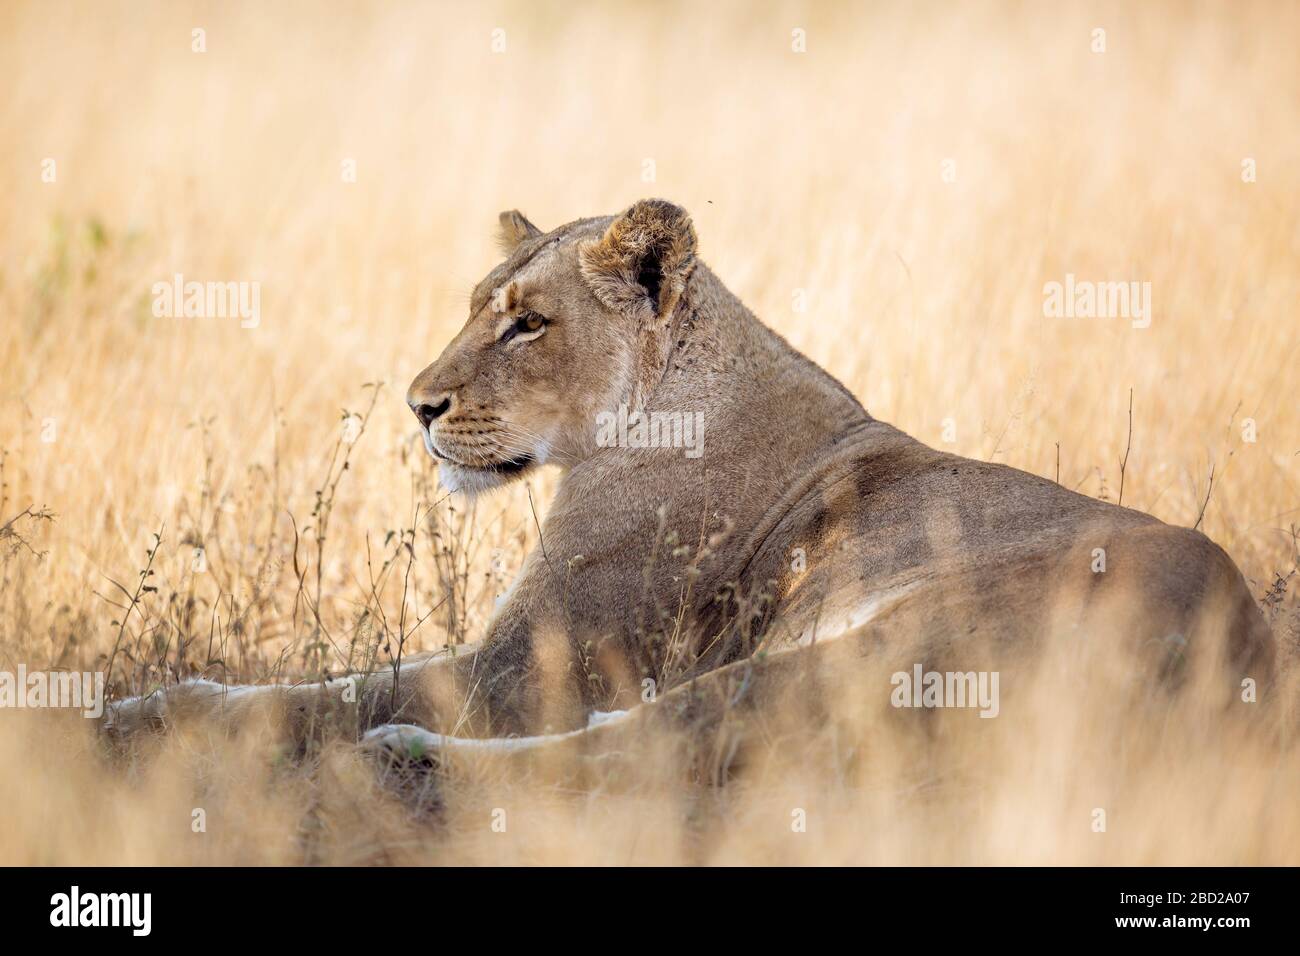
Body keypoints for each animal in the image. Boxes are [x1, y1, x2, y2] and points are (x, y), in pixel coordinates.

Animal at [106, 199, 1274, 774]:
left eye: (527, 324)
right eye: (478, 305)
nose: (418, 406)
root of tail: (1236, 660)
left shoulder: (526, 665)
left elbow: (317, 691)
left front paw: (138, 709)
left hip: (860, 648)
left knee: (645, 747)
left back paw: (410, 755)